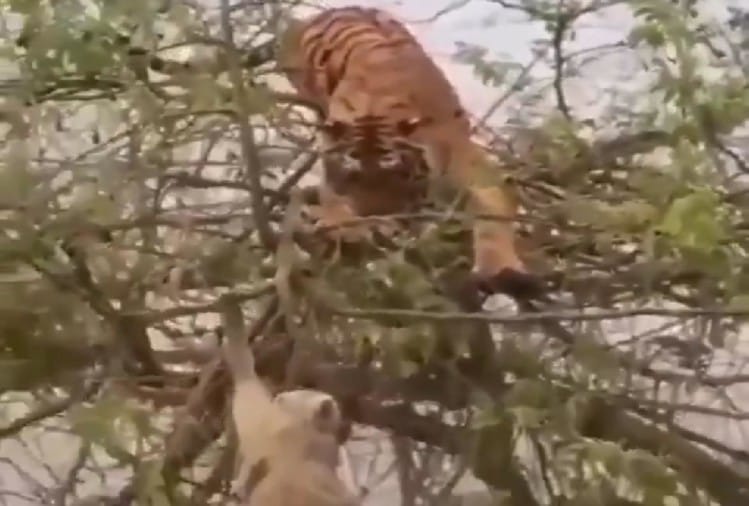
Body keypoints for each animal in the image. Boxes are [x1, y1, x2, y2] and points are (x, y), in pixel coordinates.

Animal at [249, 6, 541, 298]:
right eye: (353, 177)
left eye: (395, 175)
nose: (374, 218)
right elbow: (331, 192)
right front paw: (341, 226)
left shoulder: (457, 154)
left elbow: (493, 200)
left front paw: (505, 271)